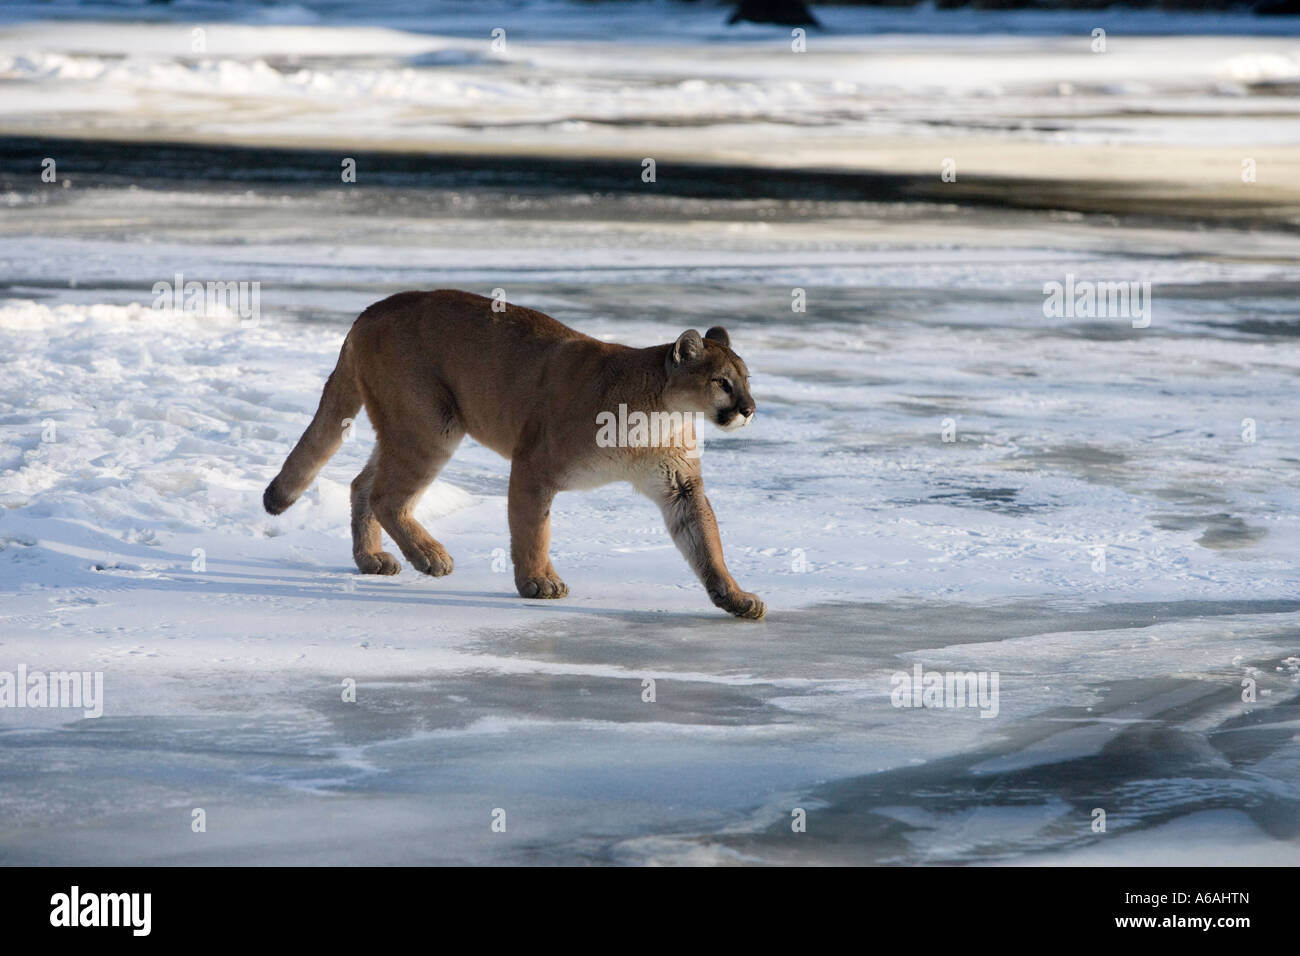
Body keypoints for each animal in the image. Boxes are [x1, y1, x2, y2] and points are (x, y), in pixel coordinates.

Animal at [263, 290, 765, 619]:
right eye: (722, 382)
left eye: (747, 379)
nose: (749, 409)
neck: (661, 415)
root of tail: (372, 308)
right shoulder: (533, 465)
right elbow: (533, 530)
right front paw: (539, 582)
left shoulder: (679, 484)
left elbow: (705, 542)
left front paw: (736, 597)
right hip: (430, 424)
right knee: (386, 494)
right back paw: (429, 556)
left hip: (408, 426)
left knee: (363, 484)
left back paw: (372, 559)